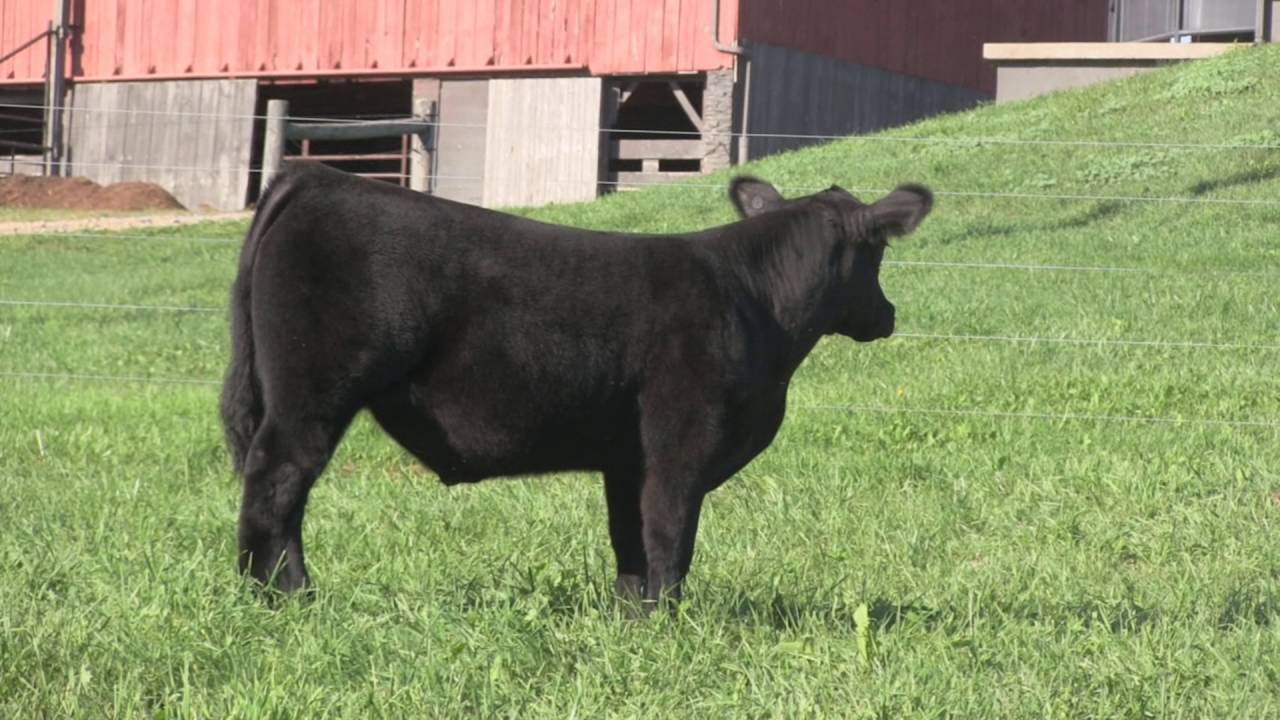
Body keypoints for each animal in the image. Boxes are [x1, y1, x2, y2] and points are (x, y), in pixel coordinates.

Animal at [220, 161, 932, 611]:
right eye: (878, 253)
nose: (888, 314)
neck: (754, 300)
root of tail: (316, 176)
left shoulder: (627, 455)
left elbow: (630, 540)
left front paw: (631, 618)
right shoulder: (682, 440)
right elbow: (670, 533)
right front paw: (670, 621)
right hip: (312, 392)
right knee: (278, 483)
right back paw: (286, 597)